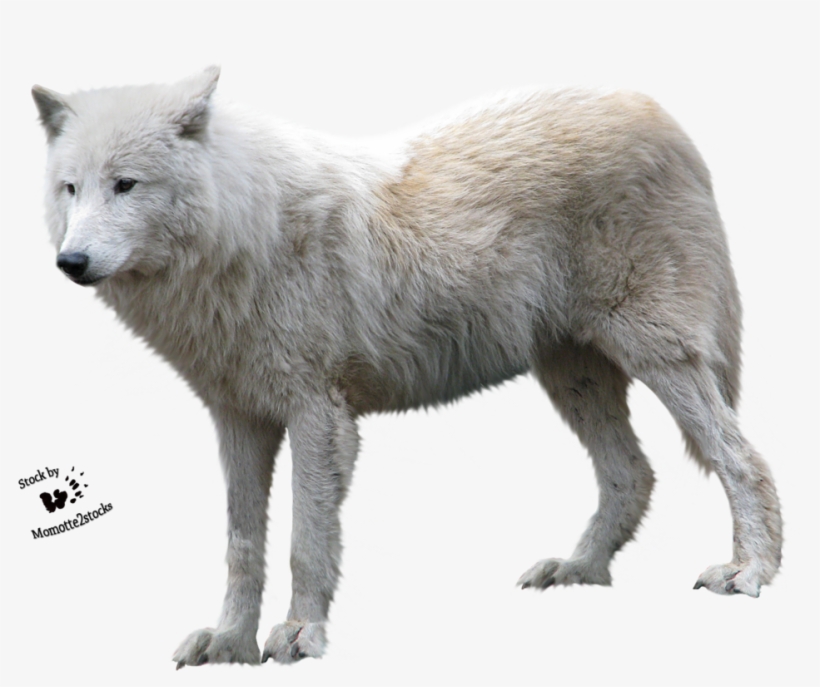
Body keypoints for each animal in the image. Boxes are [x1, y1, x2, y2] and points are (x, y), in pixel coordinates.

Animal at [32, 67, 781, 667]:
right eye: (71, 188)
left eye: (126, 184)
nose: (70, 263)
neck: (243, 234)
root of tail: (651, 107)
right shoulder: (238, 419)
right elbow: (243, 547)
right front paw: (229, 644)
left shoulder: (316, 413)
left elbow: (306, 540)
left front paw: (300, 634)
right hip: (571, 373)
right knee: (633, 472)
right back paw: (578, 568)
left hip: (657, 355)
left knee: (743, 460)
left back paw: (749, 572)